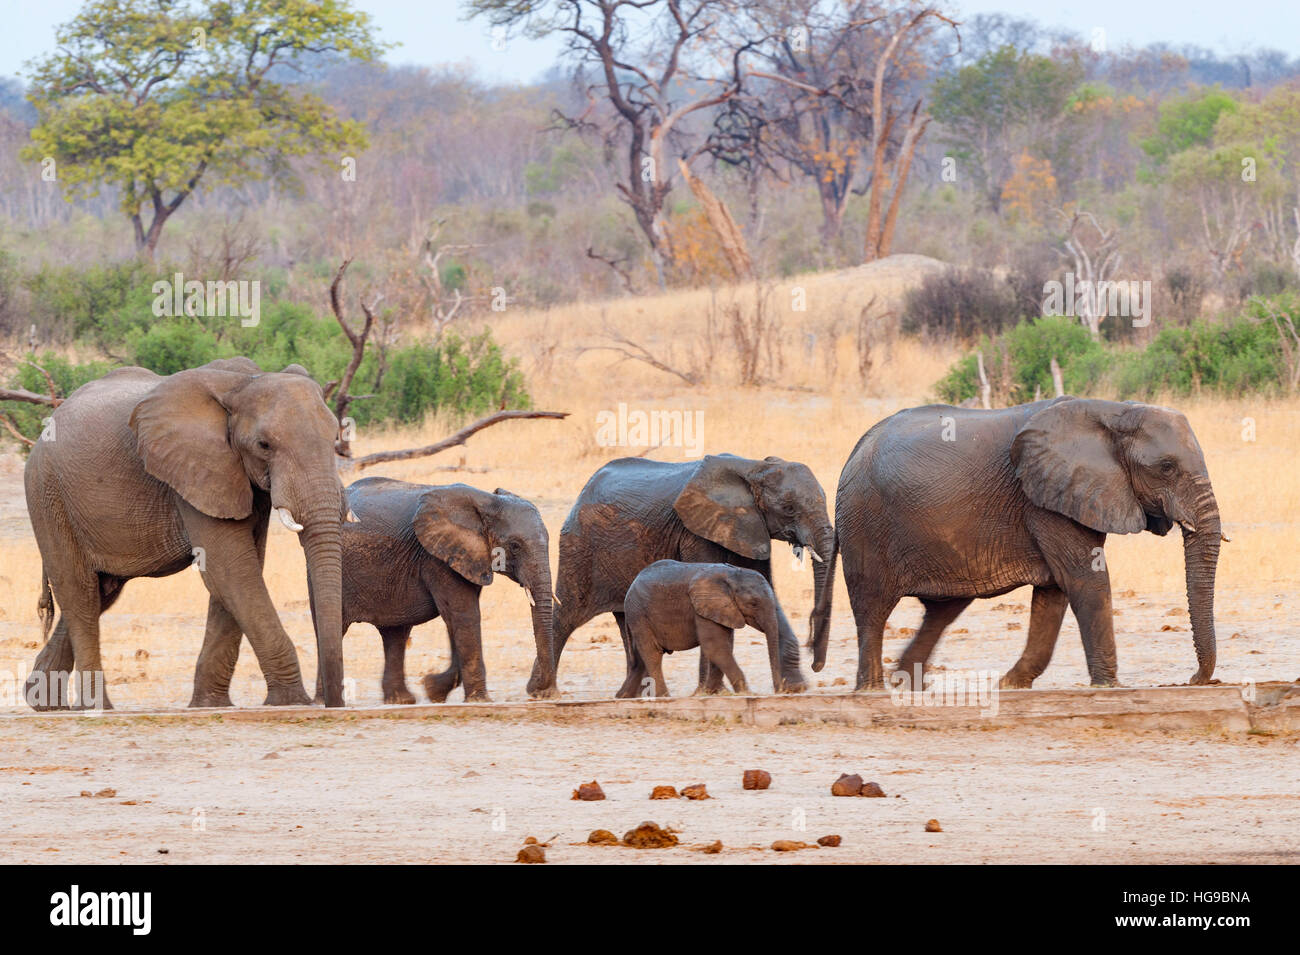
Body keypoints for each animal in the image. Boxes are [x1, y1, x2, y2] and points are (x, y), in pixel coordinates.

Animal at [22, 356, 348, 710]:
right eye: (264, 445)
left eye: (335, 438)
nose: (330, 702)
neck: (243, 383)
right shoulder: (195, 471)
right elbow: (231, 569)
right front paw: (290, 702)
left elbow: (238, 572)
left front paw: (210, 706)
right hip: (48, 495)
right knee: (78, 592)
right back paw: (96, 709)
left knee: (100, 592)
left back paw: (43, 702)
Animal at [305, 476, 555, 704]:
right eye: (515, 546)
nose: (538, 692)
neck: (486, 502)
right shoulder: (437, 557)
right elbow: (464, 614)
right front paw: (478, 700)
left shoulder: (464, 557)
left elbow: (456, 618)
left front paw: (434, 690)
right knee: (335, 628)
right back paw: (324, 702)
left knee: (395, 634)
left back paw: (401, 701)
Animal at [625, 560, 783, 697]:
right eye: (753, 603)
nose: (778, 691)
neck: (733, 574)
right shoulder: (704, 605)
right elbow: (715, 647)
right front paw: (747, 694)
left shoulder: (723, 610)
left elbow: (724, 646)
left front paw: (711, 692)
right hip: (638, 614)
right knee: (653, 654)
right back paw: (663, 697)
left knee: (640, 660)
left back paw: (625, 697)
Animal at [834, 397, 1224, 691]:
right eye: (1167, 468)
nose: (1193, 680)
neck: (1114, 411)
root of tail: (858, 447)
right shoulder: (1044, 498)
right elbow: (1083, 579)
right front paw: (1110, 687)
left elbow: (1054, 591)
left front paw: (1010, 685)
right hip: (863, 522)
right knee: (872, 608)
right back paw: (872, 690)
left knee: (942, 612)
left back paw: (908, 686)